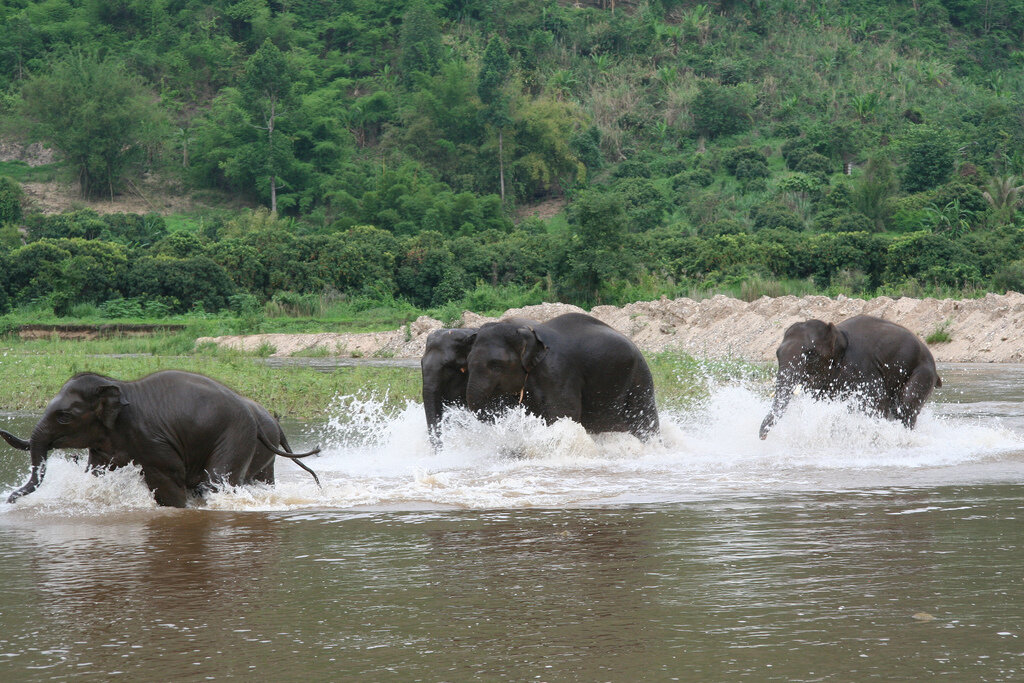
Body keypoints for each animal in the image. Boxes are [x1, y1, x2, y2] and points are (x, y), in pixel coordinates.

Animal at [1, 370, 320, 507]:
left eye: (64, 417)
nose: (10, 500)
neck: (117, 385)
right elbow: (97, 474)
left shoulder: (151, 441)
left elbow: (166, 480)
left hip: (235, 435)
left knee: (216, 481)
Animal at [463, 313, 659, 440]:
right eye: (467, 363)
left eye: (496, 365)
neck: (527, 330)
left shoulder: (557, 371)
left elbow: (564, 414)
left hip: (640, 379)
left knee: (644, 418)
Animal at [759, 315, 942, 439]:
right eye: (777, 354)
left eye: (810, 355)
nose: (762, 436)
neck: (838, 333)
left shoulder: (863, 369)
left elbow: (875, 403)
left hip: (922, 372)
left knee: (906, 407)